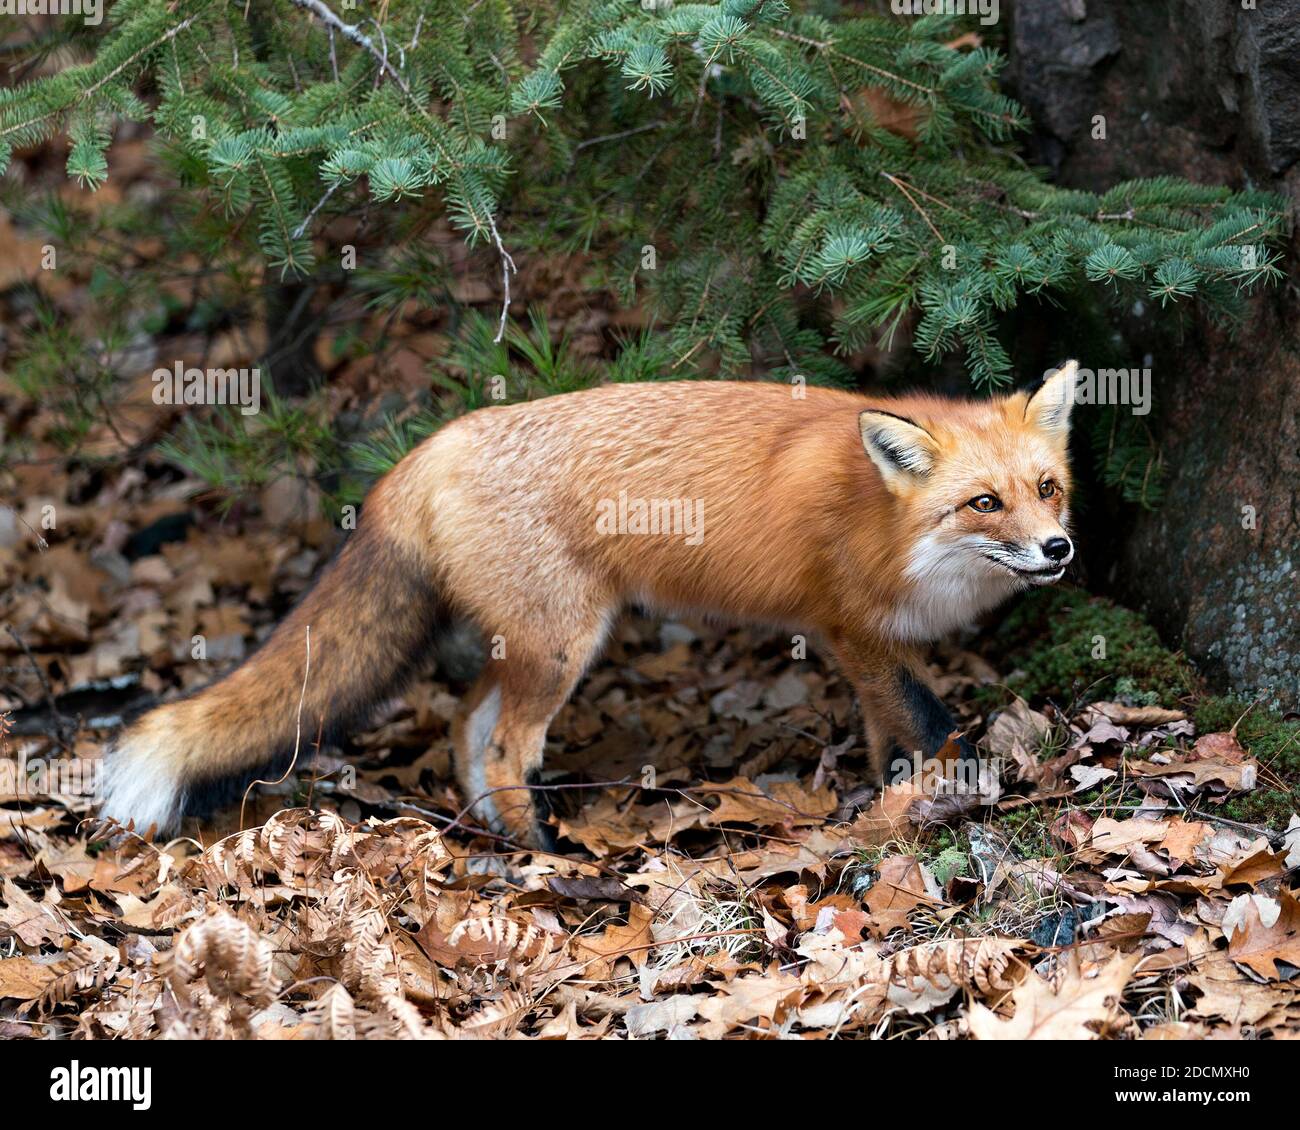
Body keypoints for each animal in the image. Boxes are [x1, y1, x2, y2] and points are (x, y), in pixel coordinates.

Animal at [101, 360, 1079, 849]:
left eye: (1047, 489)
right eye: (983, 503)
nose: (1058, 549)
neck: (888, 523)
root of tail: (425, 450)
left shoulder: (869, 645)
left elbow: (891, 734)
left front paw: (894, 797)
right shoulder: (854, 628)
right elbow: (932, 720)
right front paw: (959, 790)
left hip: (533, 644)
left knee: (464, 728)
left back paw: (499, 835)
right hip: (564, 644)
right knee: (503, 746)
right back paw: (544, 852)